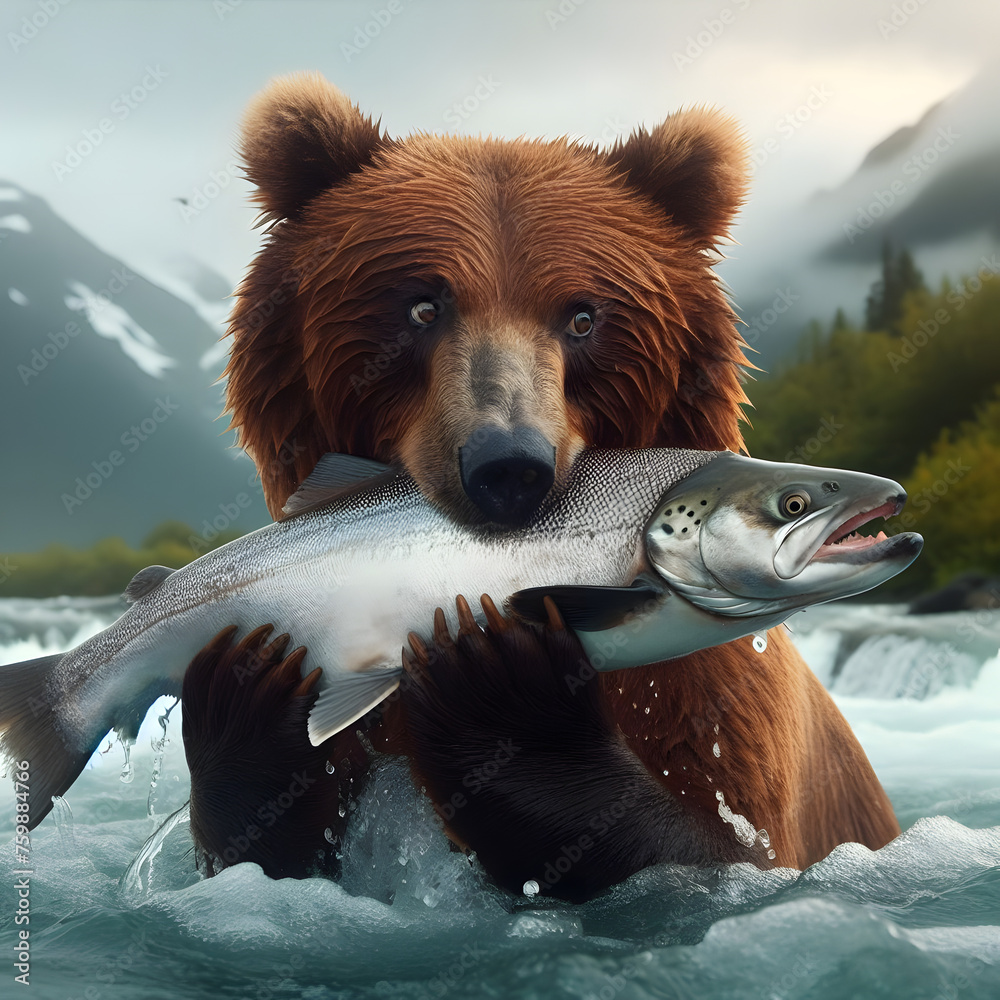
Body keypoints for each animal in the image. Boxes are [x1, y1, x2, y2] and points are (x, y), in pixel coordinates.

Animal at [180, 73, 900, 900]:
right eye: (422, 304)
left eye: (583, 317)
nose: (508, 466)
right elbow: (265, 855)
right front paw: (247, 700)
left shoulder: (711, 715)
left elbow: (715, 855)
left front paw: (502, 687)